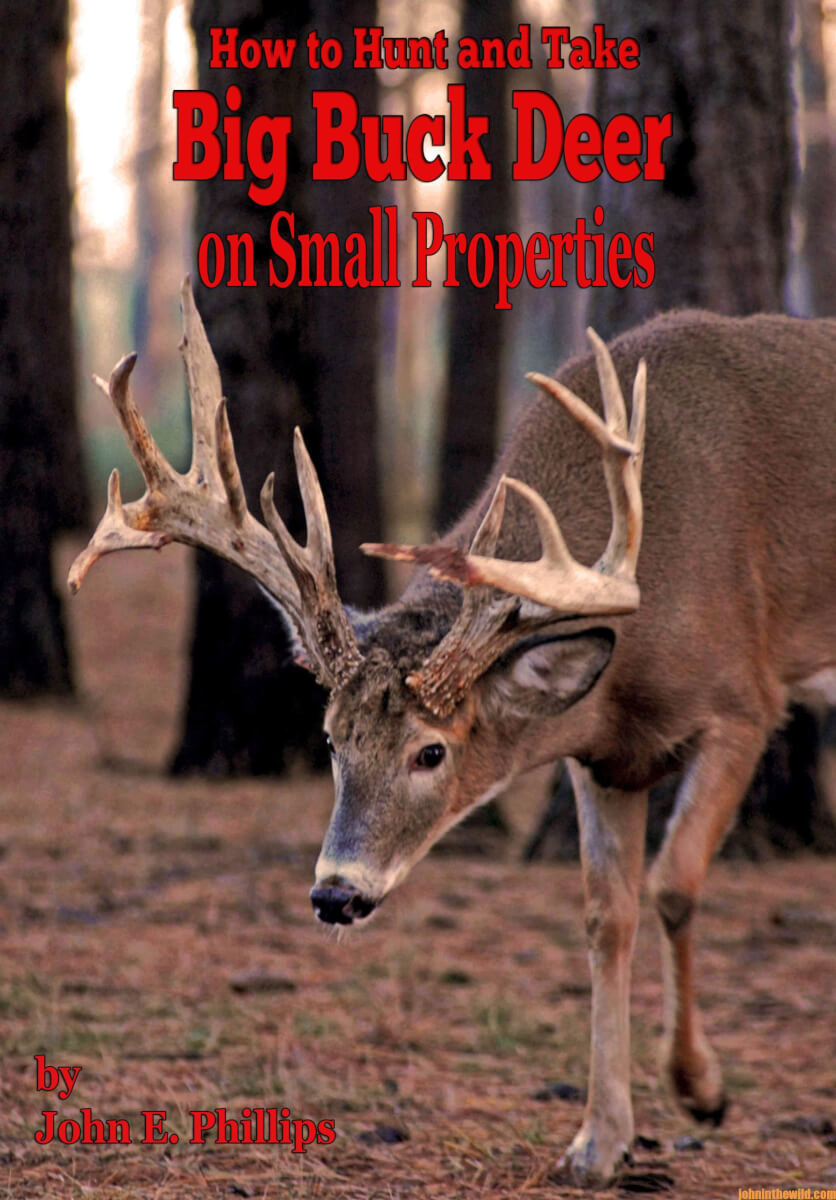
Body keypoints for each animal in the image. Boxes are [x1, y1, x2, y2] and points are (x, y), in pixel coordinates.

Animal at [69, 279, 836, 1187]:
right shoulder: (603, 756)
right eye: (331, 741)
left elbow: (675, 883)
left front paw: (701, 1091)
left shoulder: (746, 699)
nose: (336, 893)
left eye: (431, 751)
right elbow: (604, 913)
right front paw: (598, 1141)